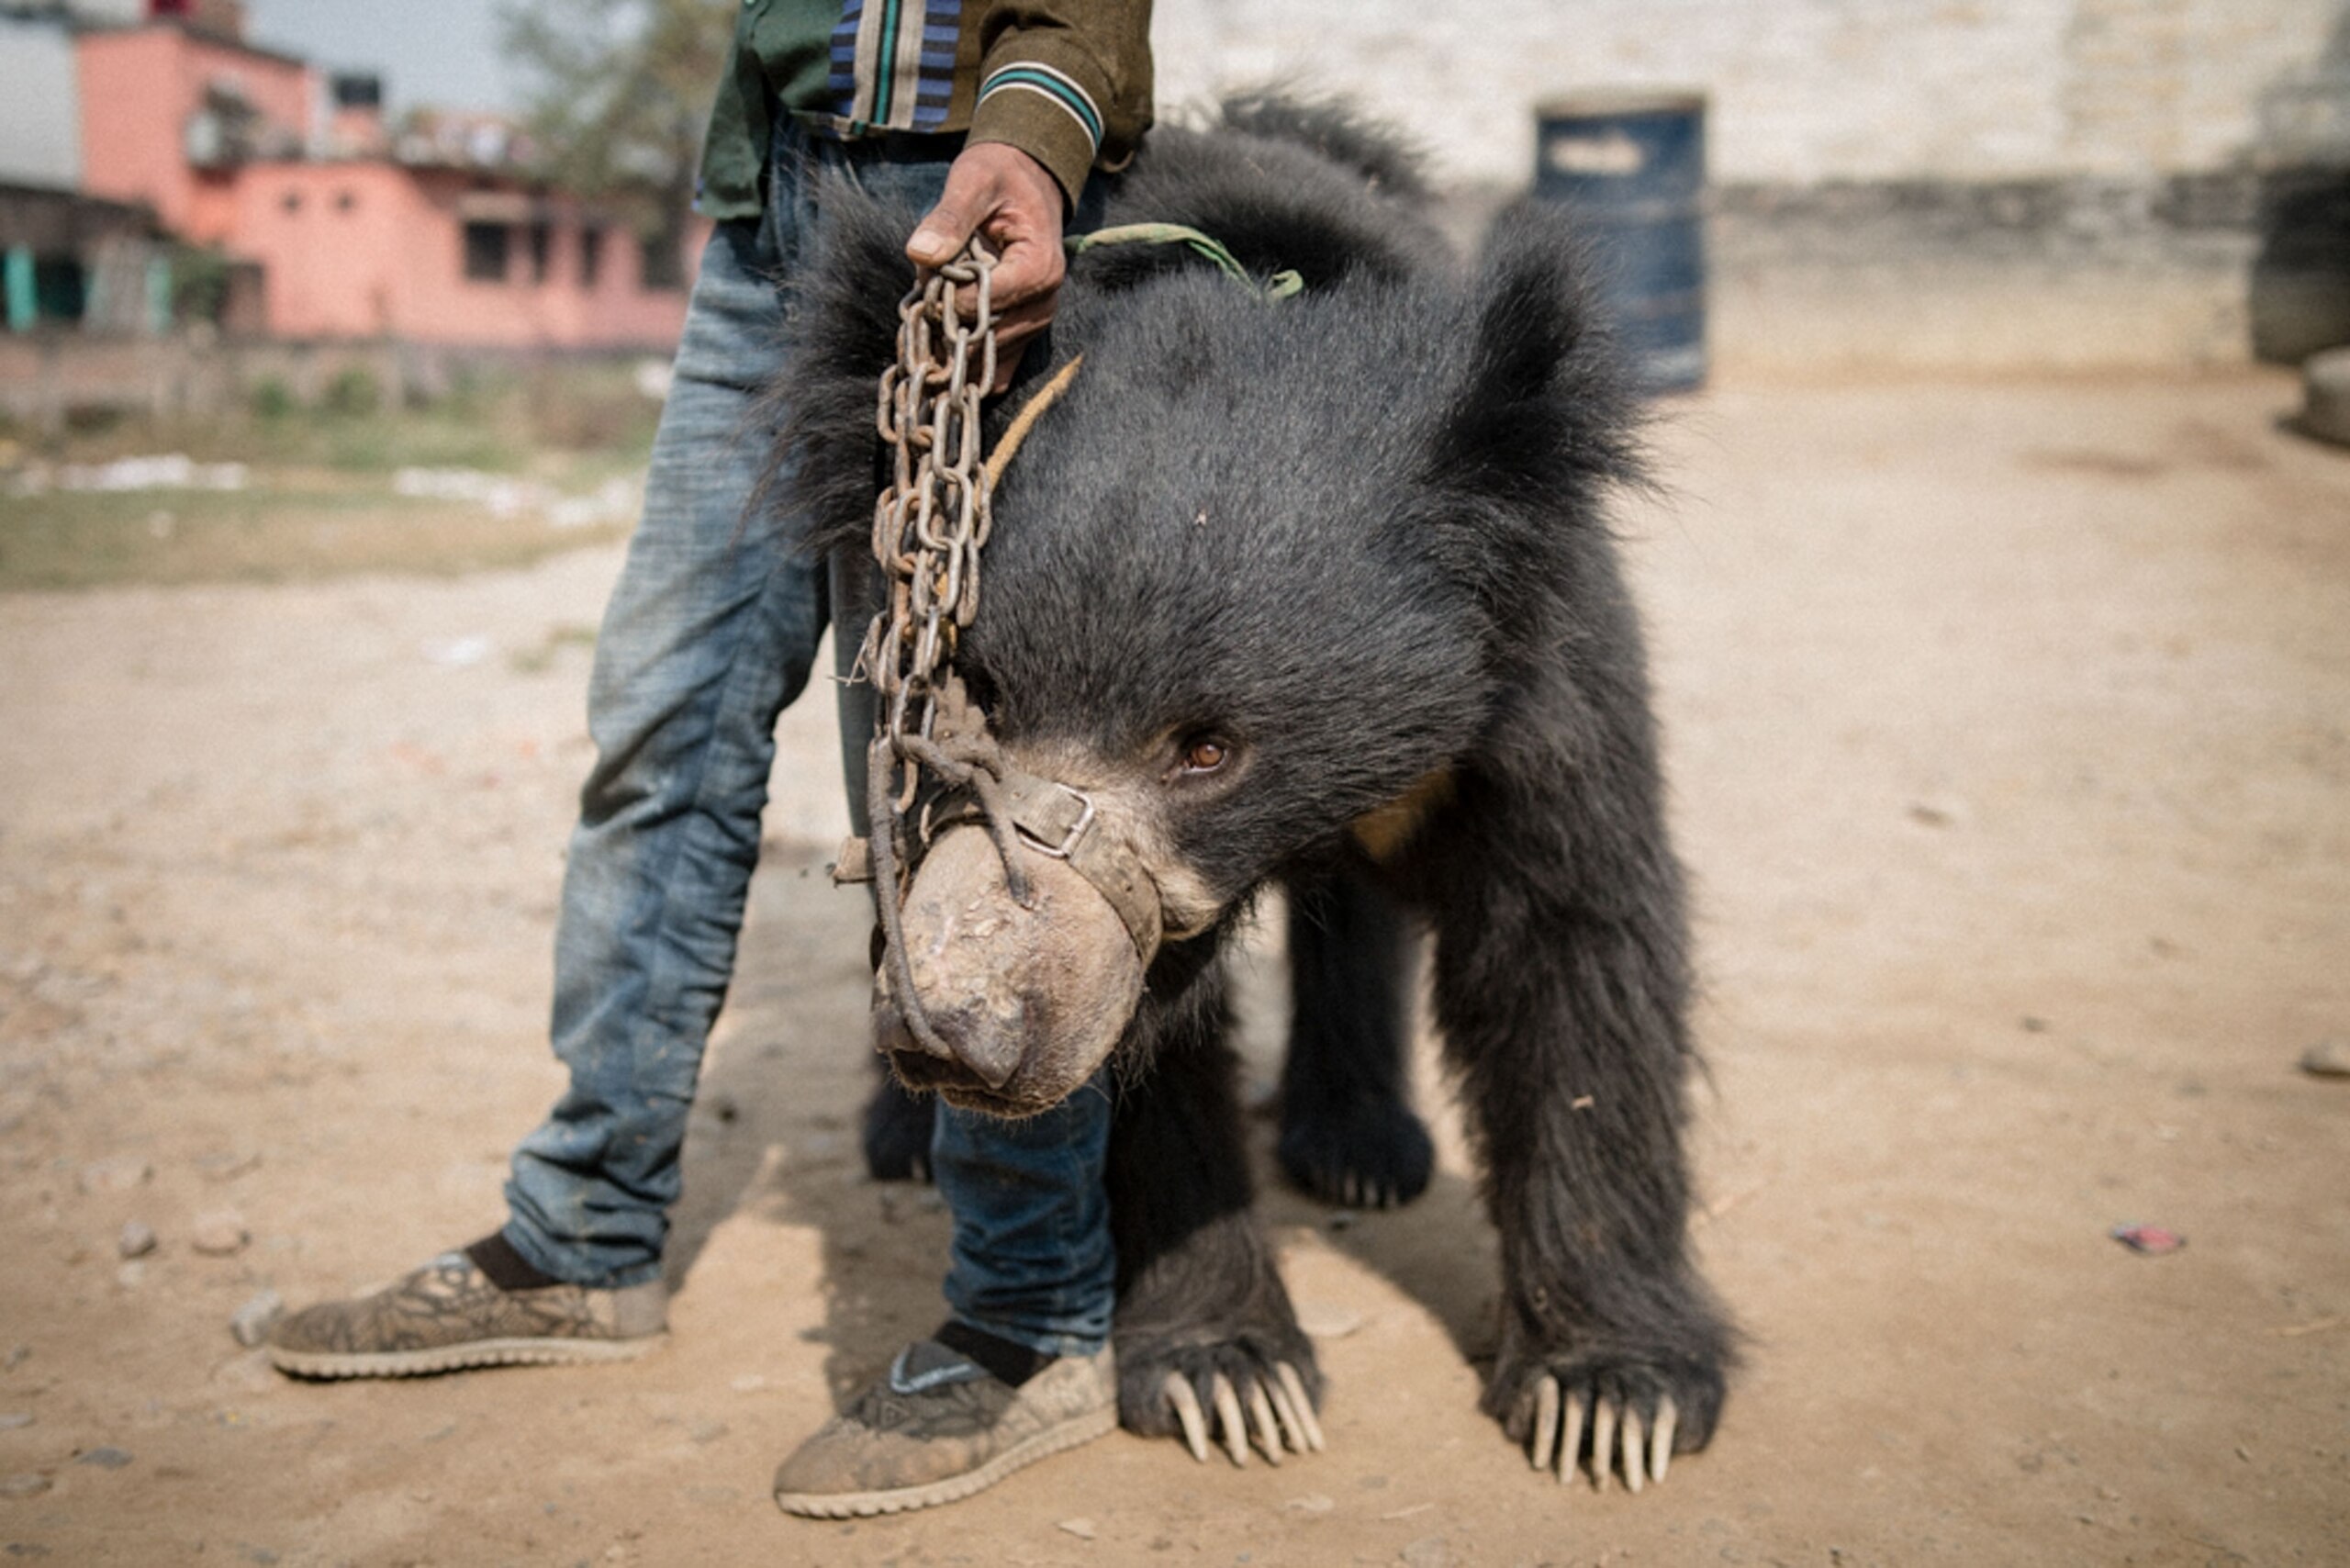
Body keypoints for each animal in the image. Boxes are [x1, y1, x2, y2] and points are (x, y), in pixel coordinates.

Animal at [782, 94, 1735, 1490]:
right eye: (981, 698)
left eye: (1207, 750)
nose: (961, 1035)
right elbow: (1138, 1051)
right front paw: (1231, 1378)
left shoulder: (1532, 676)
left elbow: (1572, 944)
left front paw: (1611, 1398)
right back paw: (902, 1138)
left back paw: (1361, 1146)